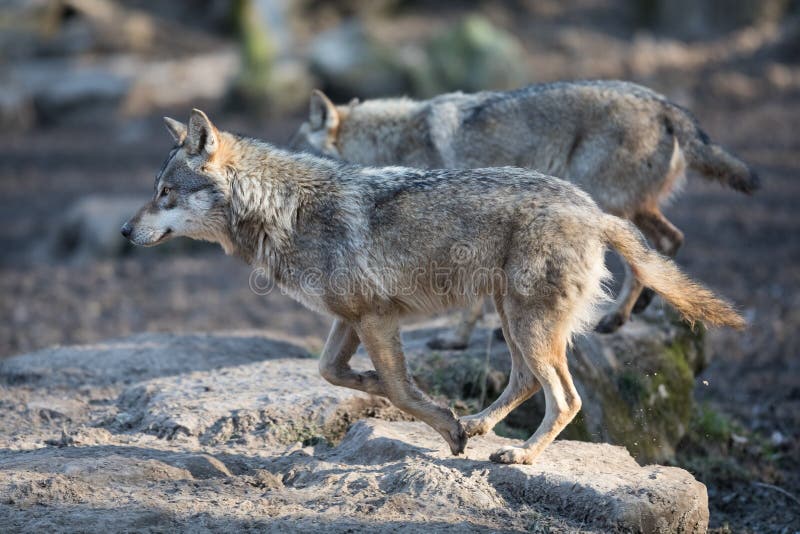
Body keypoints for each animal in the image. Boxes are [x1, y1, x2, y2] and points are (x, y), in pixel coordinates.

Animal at [122, 109, 745, 464]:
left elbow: (399, 390)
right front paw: (383, 388)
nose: (126, 231)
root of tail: (594, 211)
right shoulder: (350, 318)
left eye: (164, 194)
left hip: (528, 324)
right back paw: (483, 425)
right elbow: (331, 372)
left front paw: (442, 427)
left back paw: (521, 455)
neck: (284, 211)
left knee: (566, 398)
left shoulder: (376, 318)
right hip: (513, 320)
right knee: (525, 381)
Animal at [289, 80, 759, 348]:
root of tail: (665, 103)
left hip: (597, 201)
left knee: (653, 245)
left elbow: (470, 305)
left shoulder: (457, 234)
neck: (390, 144)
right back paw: (633, 310)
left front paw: (456, 339)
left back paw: (615, 318)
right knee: (667, 241)